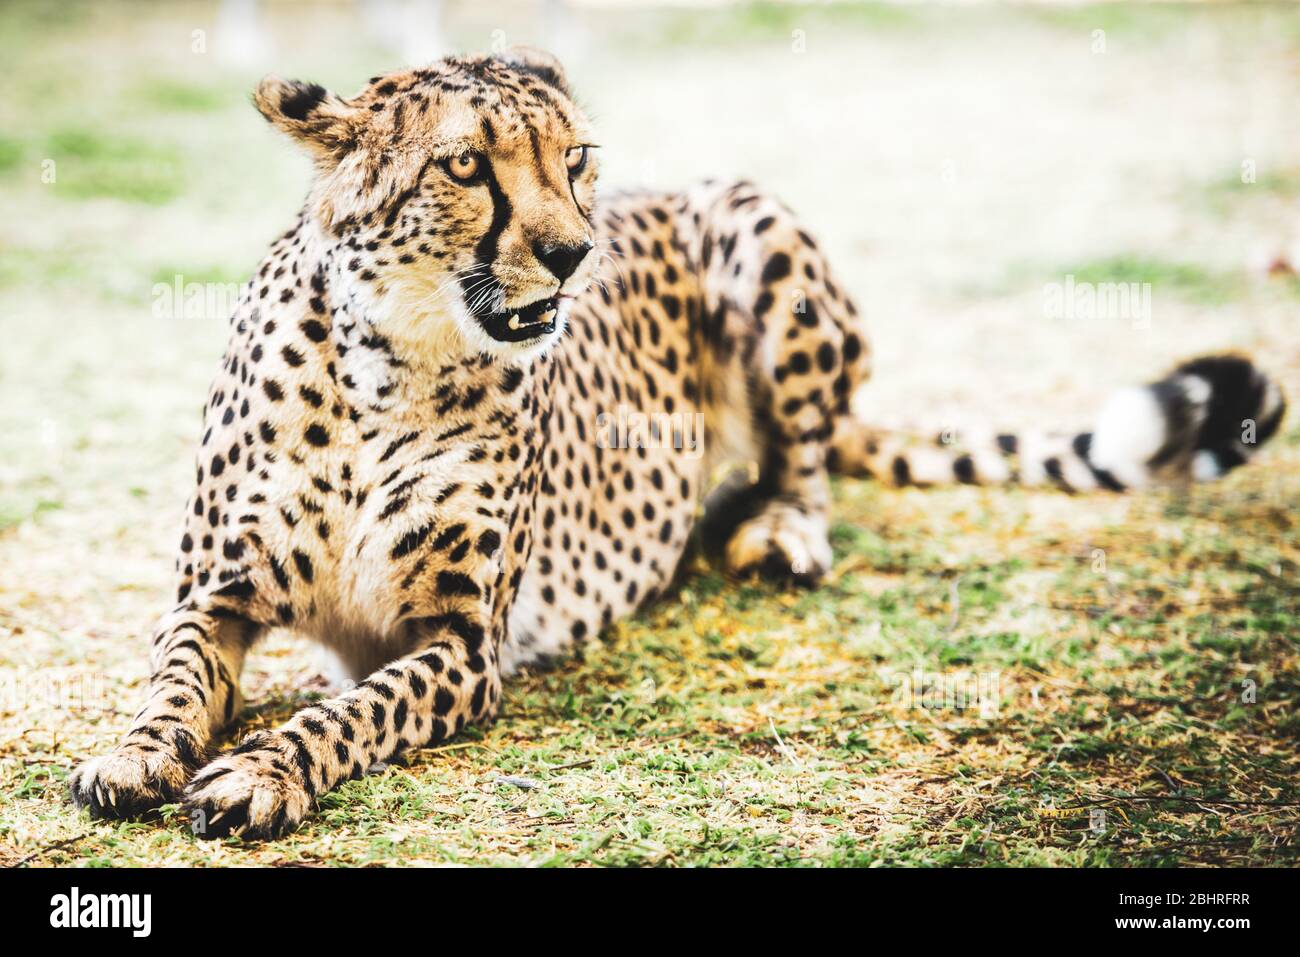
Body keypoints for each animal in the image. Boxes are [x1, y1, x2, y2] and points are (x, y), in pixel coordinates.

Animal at [68, 47, 1286, 839]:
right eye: (467, 167)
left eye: (575, 159)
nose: (573, 252)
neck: (386, 366)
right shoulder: (215, 594)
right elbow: (173, 678)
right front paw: (134, 752)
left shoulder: (460, 644)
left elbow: (347, 711)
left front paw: (259, 773)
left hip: (756, 227)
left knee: (806, 460)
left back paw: (778, 531)